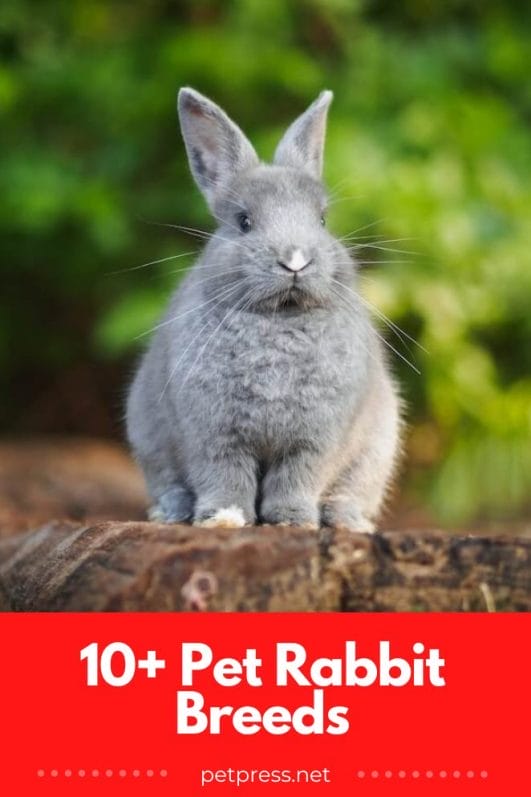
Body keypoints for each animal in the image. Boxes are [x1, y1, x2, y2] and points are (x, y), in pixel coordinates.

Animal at [126, 87, 401, 532]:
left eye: (322, 220)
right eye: (244, 222)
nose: (295, 260)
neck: (280, 319)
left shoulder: (314, 441)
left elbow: (297, 477)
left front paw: (293, 521)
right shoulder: (214, 436)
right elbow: (224, 476)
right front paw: (223, 518)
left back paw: (347, 521)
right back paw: (170, 513)